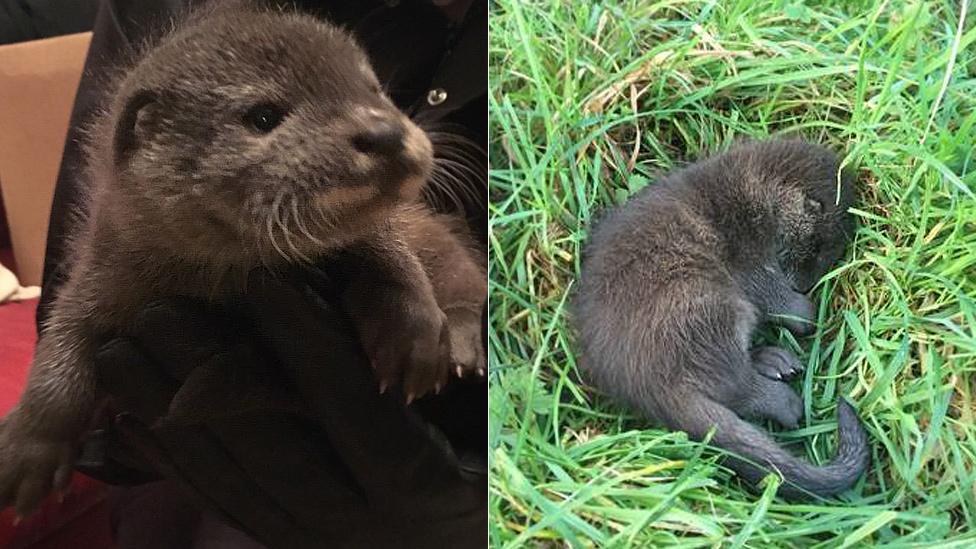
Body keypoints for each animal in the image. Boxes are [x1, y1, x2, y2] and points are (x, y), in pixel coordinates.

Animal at [0, 4, 485, 516]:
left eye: (373, 90)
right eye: (263, 115)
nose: (385, 132)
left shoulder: (378, 235)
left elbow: (393, 262)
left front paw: (413, 337)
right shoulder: (104, 274)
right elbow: (60, 352)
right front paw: (28, 453)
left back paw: (463, 344)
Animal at [575, 139, 870, 499]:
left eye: (831, 253)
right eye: (817, 247)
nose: (804, 284)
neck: (752, 195)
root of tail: (643, 384)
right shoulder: (748, 253)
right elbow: (771, 294)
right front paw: (803, 312)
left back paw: (775, 361)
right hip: (703, 308)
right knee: (735, 385)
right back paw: (785, 401)